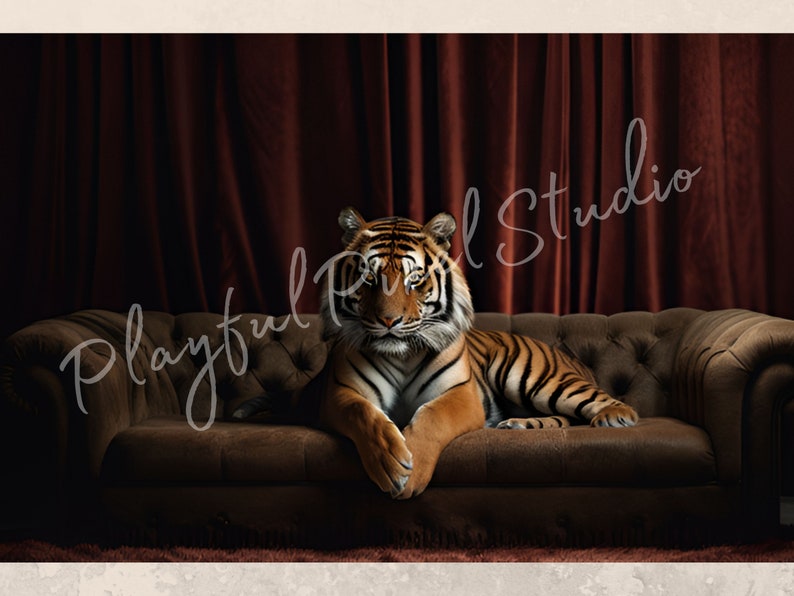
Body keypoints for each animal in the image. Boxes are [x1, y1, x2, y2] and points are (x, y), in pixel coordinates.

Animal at [236, 208, 638, 500]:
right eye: (369, 278)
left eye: (414, 279)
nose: (389, 321)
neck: (401, 354)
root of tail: (567, 356)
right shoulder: (343, 393)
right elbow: (366, 416)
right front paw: (392, 461)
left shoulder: (459, 394)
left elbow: (432, 417)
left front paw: (410, 473)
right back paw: (518, 426)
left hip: (531, 377)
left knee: (603, 404)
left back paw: (614, 418)